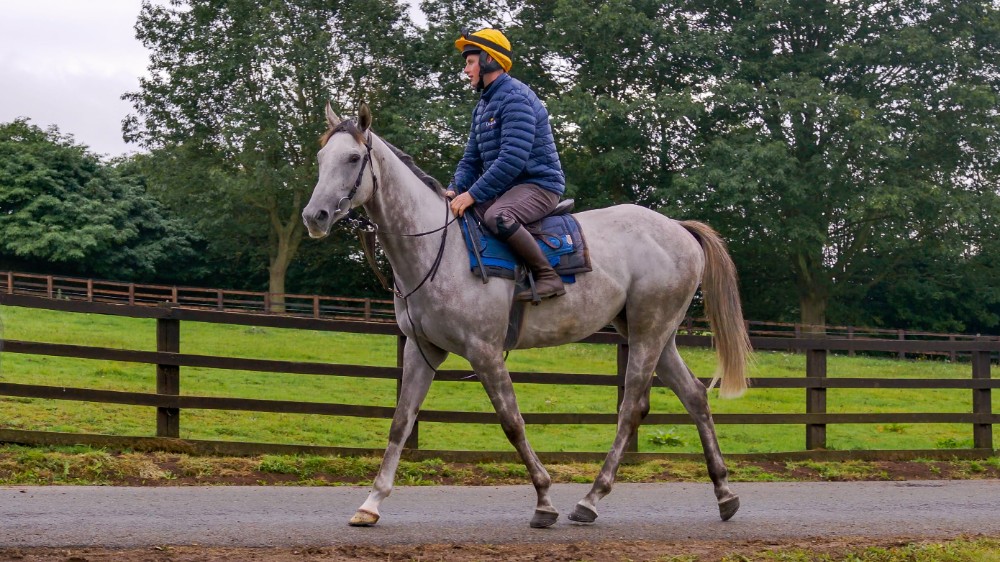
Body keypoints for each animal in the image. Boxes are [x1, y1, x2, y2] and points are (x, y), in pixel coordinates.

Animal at [302, 103, 752, 528]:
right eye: (322, 156)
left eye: (354, 158)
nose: (314, 216)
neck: (437, 249)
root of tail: (678, 227)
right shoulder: (421, 350)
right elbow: (400, 422)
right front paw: (371, 503)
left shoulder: (484, 353)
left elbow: (512, 422)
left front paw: (544, 500)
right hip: (657, 335)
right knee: (694, 396)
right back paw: (725, 493)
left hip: (647, 333)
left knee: (631, 409)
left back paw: (591, 499)